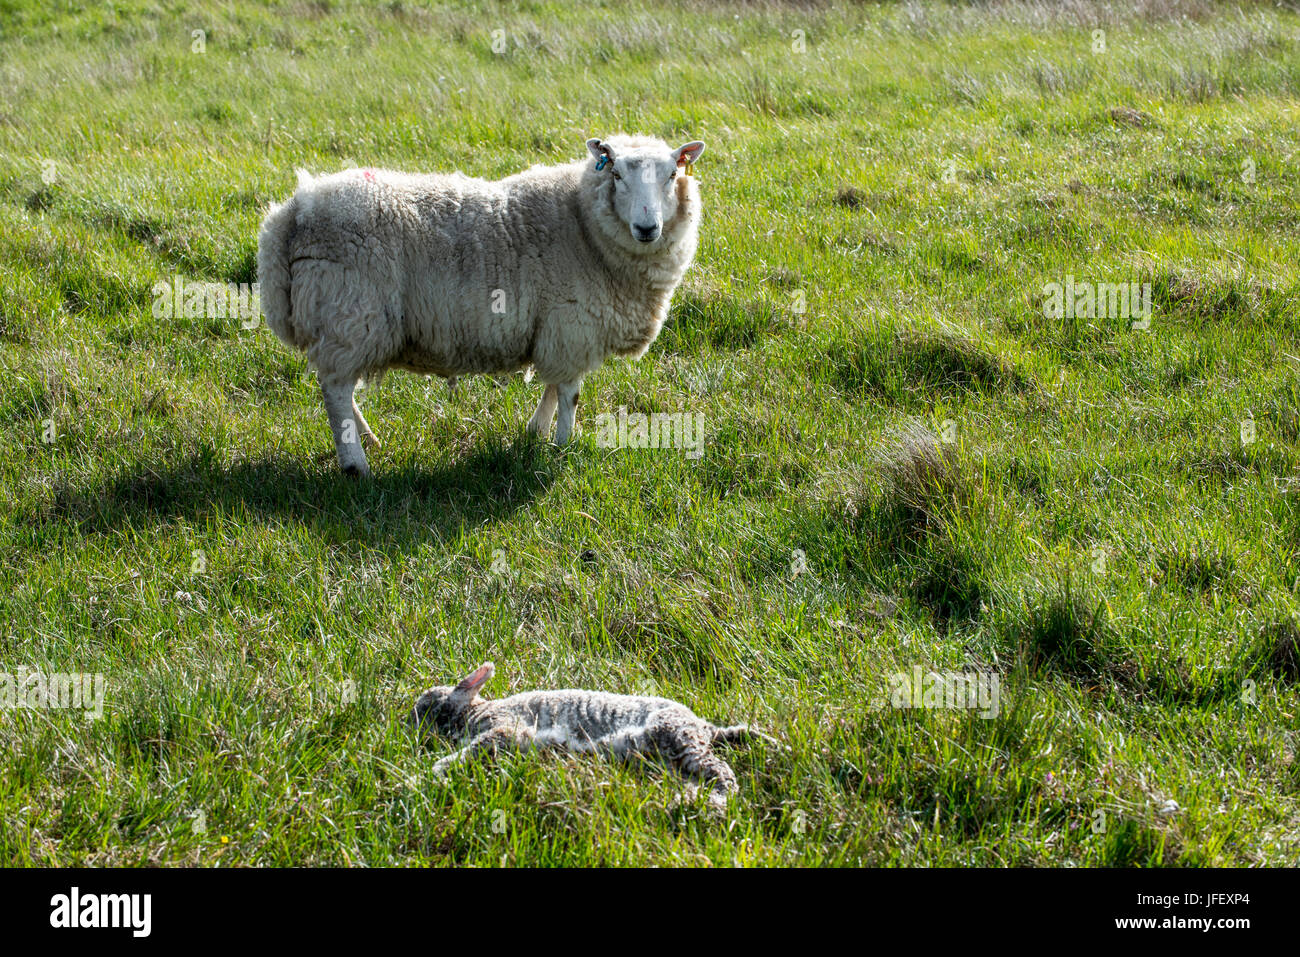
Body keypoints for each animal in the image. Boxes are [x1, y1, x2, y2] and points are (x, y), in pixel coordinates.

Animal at [256, 134, 706, 476]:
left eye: (672, 174)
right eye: (615, 173)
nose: (647, 228)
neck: (582, 223)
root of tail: (292, 212)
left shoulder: (555, 330)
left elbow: (552, 387)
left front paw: (536, 433)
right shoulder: (572, 324)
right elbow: (570, 393)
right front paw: (562, 445)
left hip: (343, 323)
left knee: (340, 387)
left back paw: (368, 438)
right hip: (350, 314)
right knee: (334, 390)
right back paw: (355, 464)